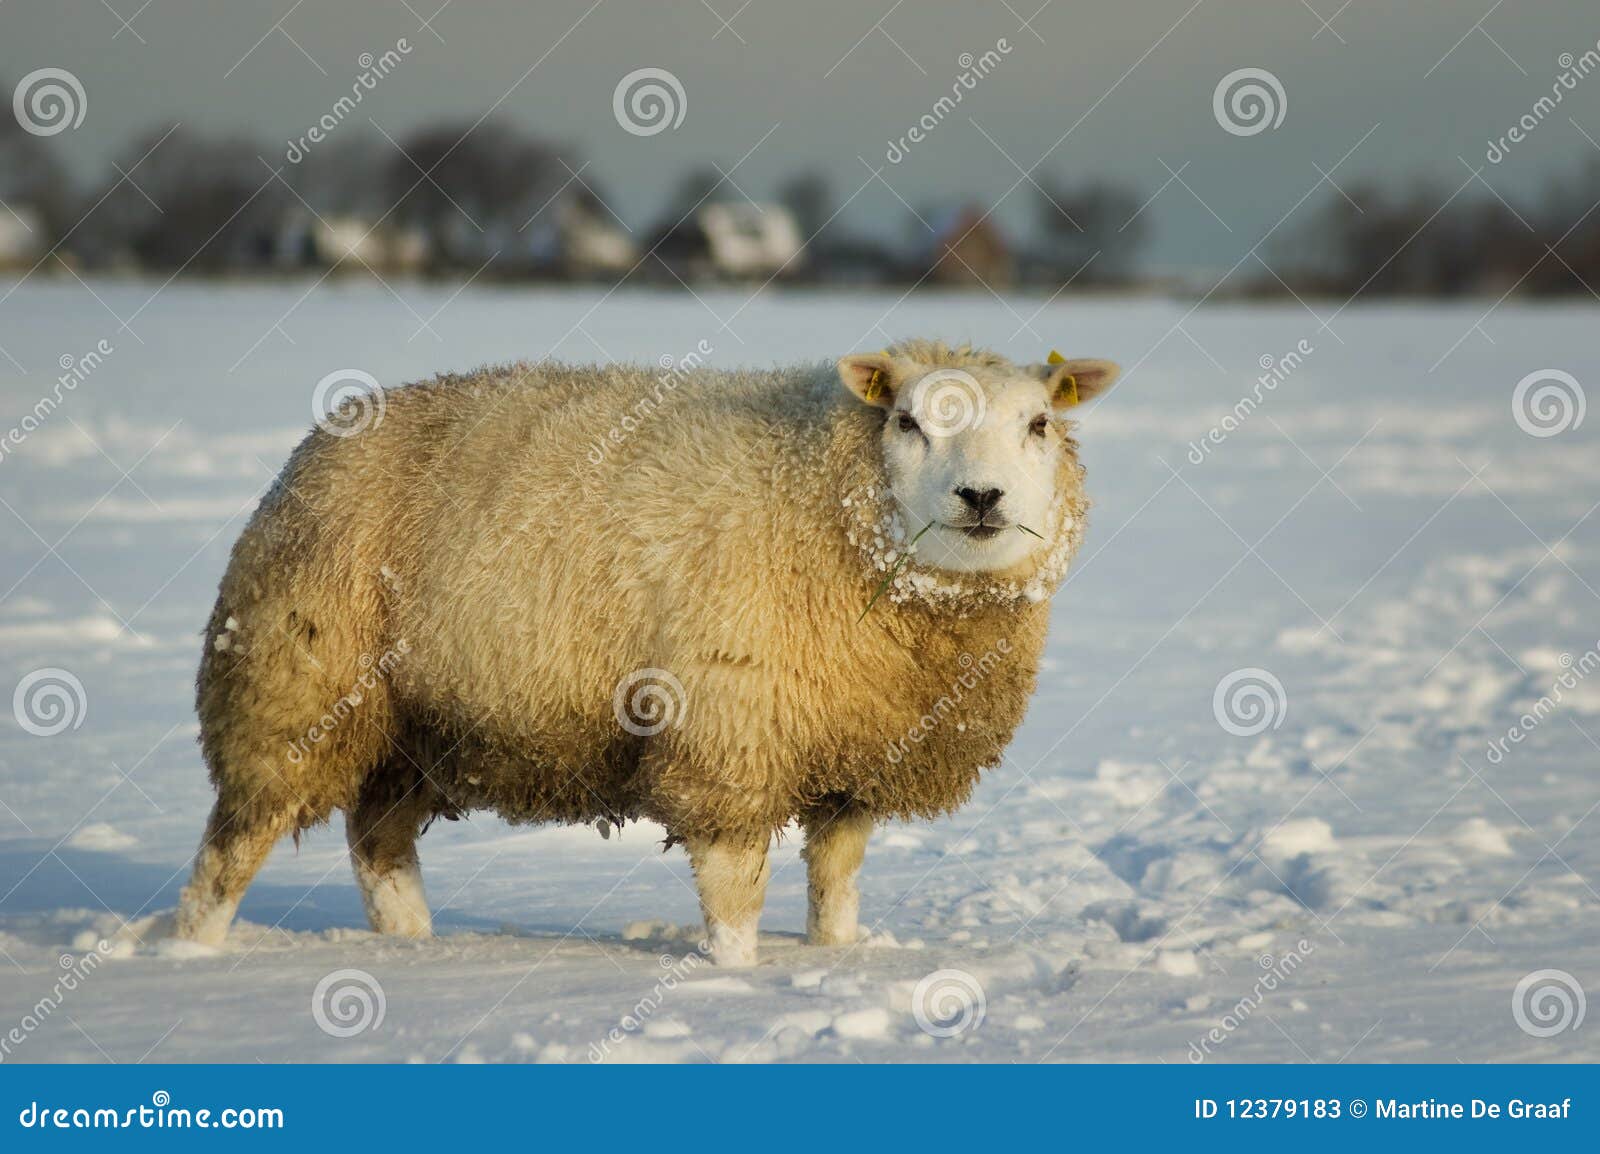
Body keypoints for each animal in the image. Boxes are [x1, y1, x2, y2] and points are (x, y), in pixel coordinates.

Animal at [175, 339, 1120, 965]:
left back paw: (412, 950)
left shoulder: (857, 752)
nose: (981, 497)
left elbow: (836, 883)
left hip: (417, 724)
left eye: (1040, 423)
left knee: (379, 844)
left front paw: (835, 963)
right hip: (290, 683)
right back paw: (194, 957)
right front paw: (738, 984)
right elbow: (736, 898)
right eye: (907, 420)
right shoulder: (729, 737)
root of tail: (320, 443)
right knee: (230, 853)